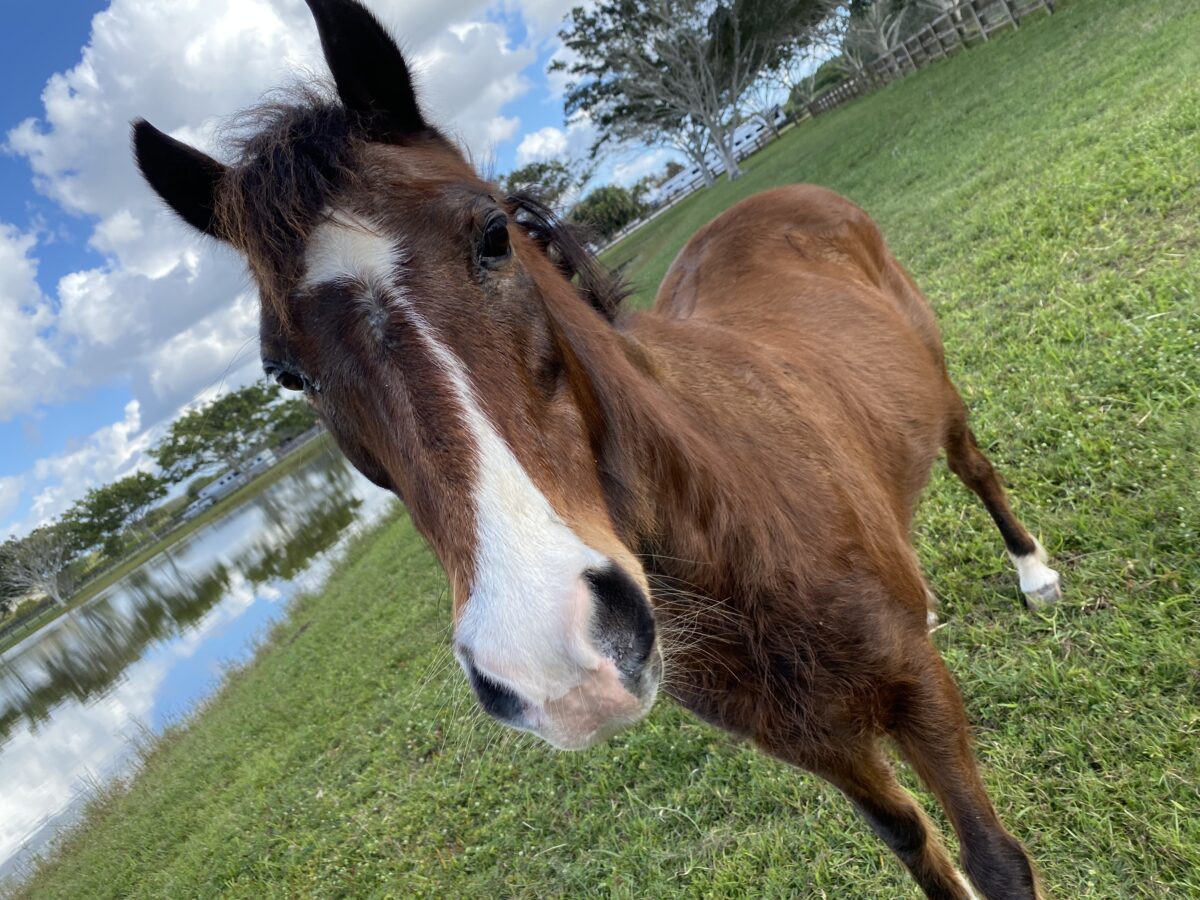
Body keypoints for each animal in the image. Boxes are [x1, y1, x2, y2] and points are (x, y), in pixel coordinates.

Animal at [131, 0, 1061, 895]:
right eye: (286, 372)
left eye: (493, 236)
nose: (550, 659)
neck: (739, 527)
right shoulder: (820, 745)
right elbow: (919, 850)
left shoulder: (919, 694)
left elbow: (996, 863)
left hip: (940, 395)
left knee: (976, 468)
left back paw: (1034, 572)